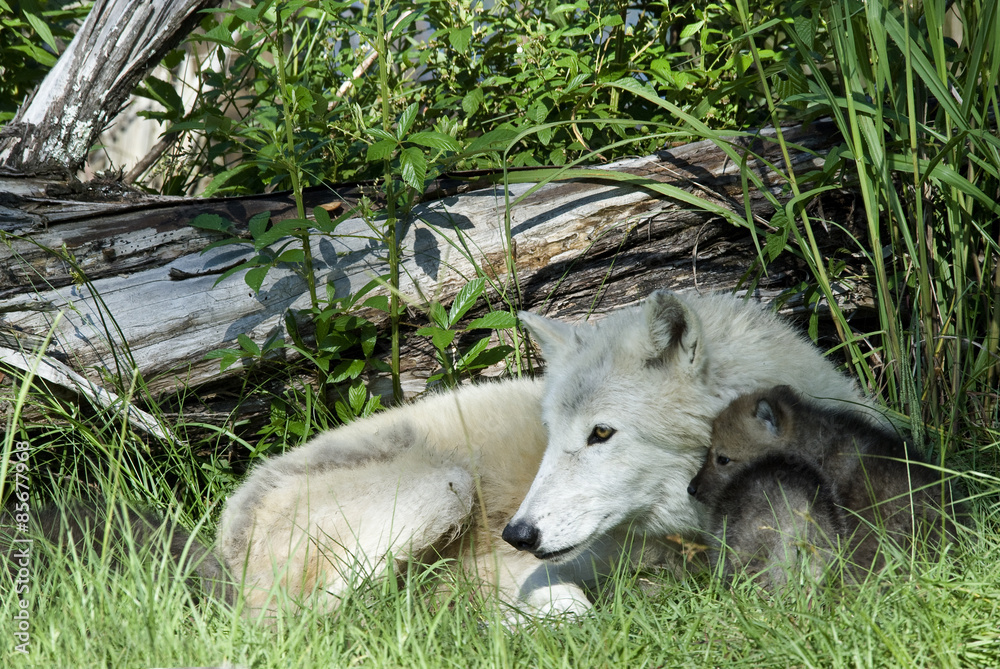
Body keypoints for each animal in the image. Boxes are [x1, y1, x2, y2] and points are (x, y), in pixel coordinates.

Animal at [217, 289, 866, 618]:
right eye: (552, 433)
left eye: (601, 433)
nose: (518, 533)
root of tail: (231, 525)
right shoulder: (523, 568)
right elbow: (570, 603)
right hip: (442, 487)